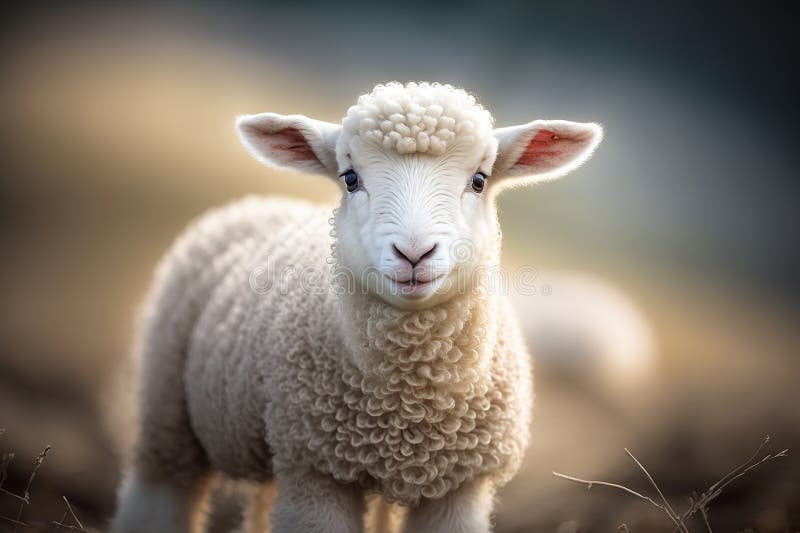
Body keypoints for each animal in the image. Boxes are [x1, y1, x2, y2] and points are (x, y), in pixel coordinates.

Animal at [111, 81, 603, 533]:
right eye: (351, 178)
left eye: (479, 180)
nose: (413, 254)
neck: (410, 398)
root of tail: (258, 202)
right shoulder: (318, 470)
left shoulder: (459, 486)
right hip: (168, 410)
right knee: (162, 489)